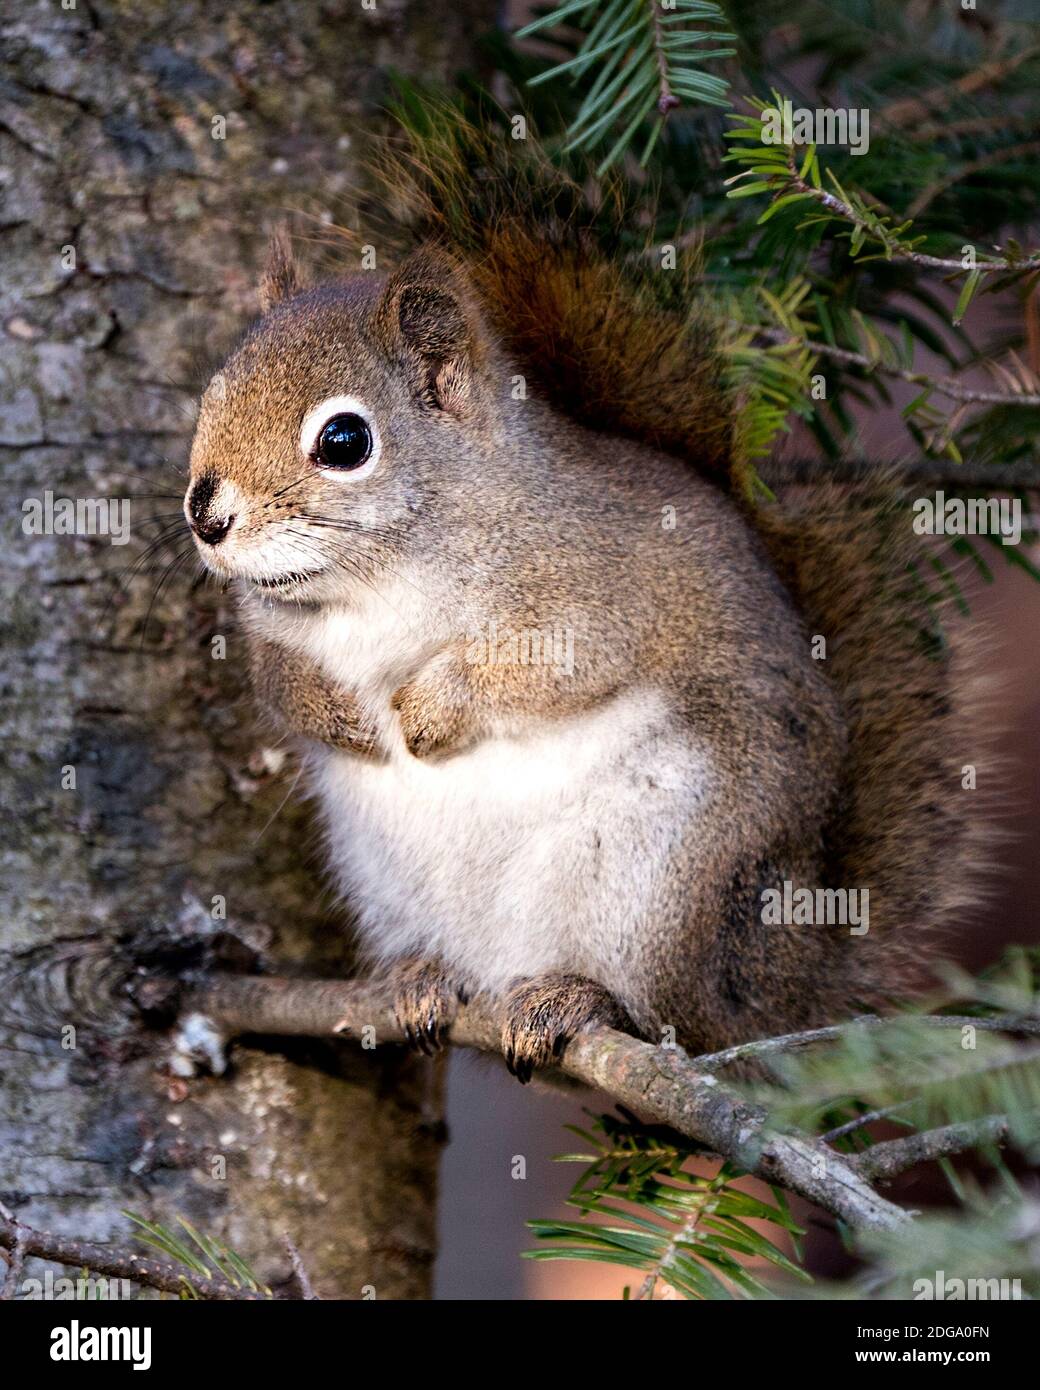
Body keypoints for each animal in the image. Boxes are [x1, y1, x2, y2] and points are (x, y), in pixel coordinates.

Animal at [184, 117, 988, 1081]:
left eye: (344, 440)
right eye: (210, 394)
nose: (205, 516)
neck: (371, 583)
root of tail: (785, 996)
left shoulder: (599, 588)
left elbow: (550, 669)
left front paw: (429, 709)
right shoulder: (271, 632)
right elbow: (276, 684)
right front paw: (339, 714)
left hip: (669, 876)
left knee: (670, 1015)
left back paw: (577, 998)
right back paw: (416, 981)